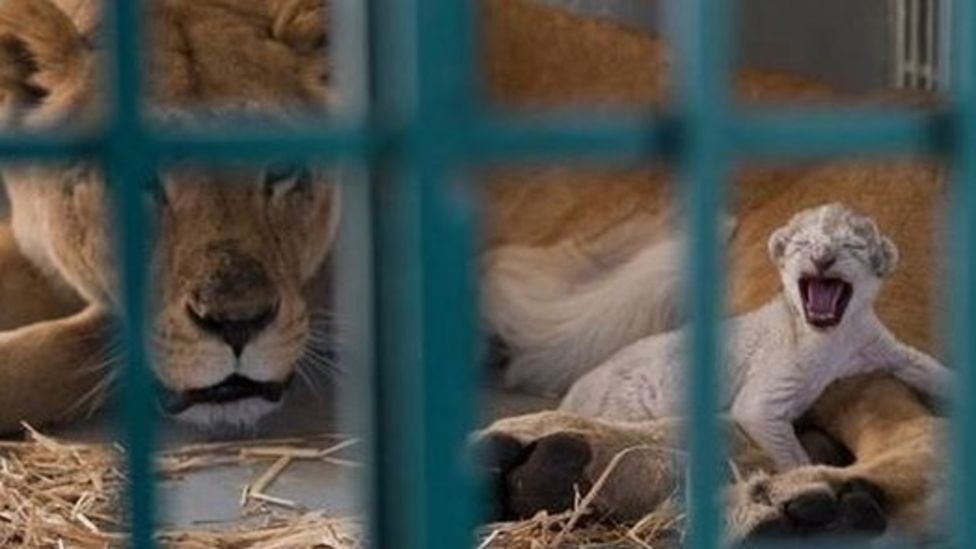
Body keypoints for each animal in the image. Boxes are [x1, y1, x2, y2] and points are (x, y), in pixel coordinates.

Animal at [0, 0, 948, 542]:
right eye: (136, 182)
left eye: (285, 168)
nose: (238, 324)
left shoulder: (310, 317)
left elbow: (54, 353)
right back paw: (559, 464)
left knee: (912, 442)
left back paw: (798, 503)